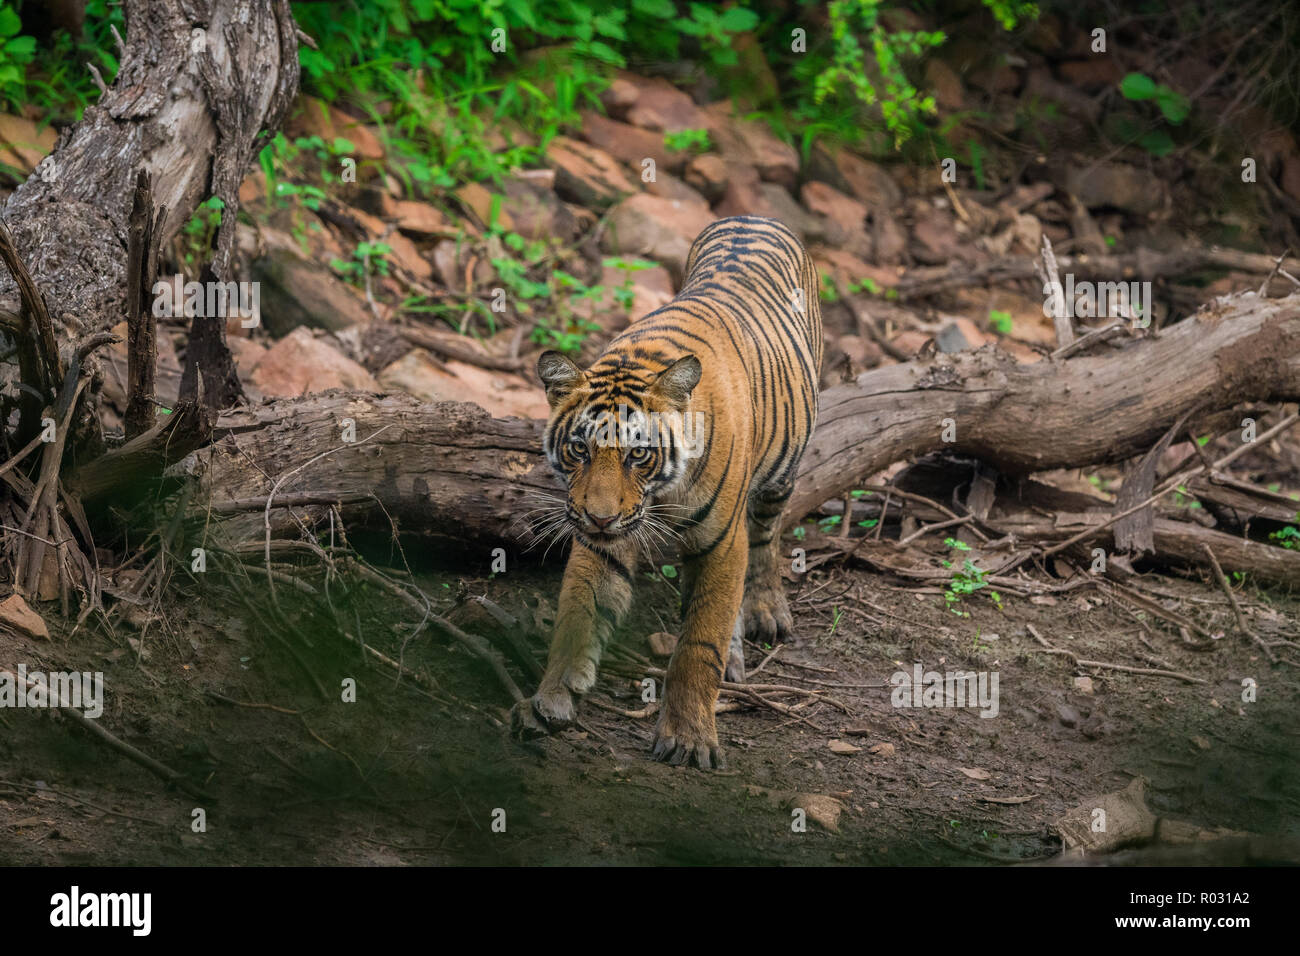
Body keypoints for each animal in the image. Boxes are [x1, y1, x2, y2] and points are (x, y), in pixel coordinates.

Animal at [513, 216, 823, 769]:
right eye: (579, 449)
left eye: (639, 454)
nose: (599, 517)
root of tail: (754, 217)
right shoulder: (601, 543)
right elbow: (578, 615)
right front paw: (551, 699)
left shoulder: (721, 542)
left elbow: (700, 642)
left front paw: (688, 737)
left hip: (780, 473)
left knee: (766, 537)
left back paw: (765, 613)